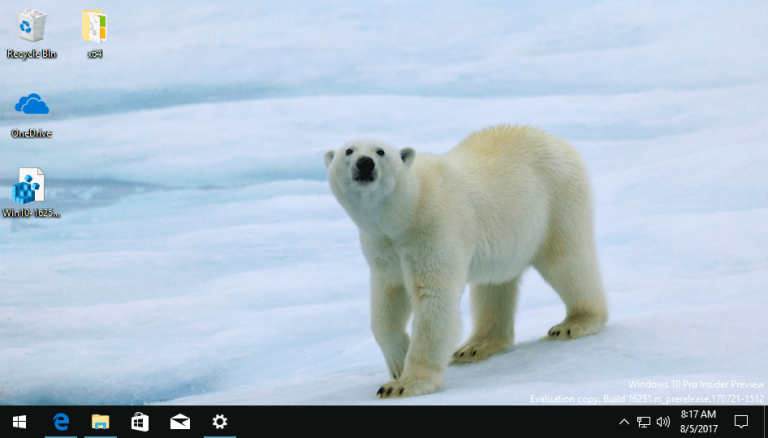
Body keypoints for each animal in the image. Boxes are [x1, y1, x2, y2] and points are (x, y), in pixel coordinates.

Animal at [323, 124, 607, 398]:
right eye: (348, 151)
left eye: (381, 151)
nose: (365, 163)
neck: (407, 211)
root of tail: (557, 140)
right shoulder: (383, 246)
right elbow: (388, 298)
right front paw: (398, 362)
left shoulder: (433, 229)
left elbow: (433, 299)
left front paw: (404, 385)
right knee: (494, 284)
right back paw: (475, 346)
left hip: (557, 202)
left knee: (567, 262)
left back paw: (576, 322)